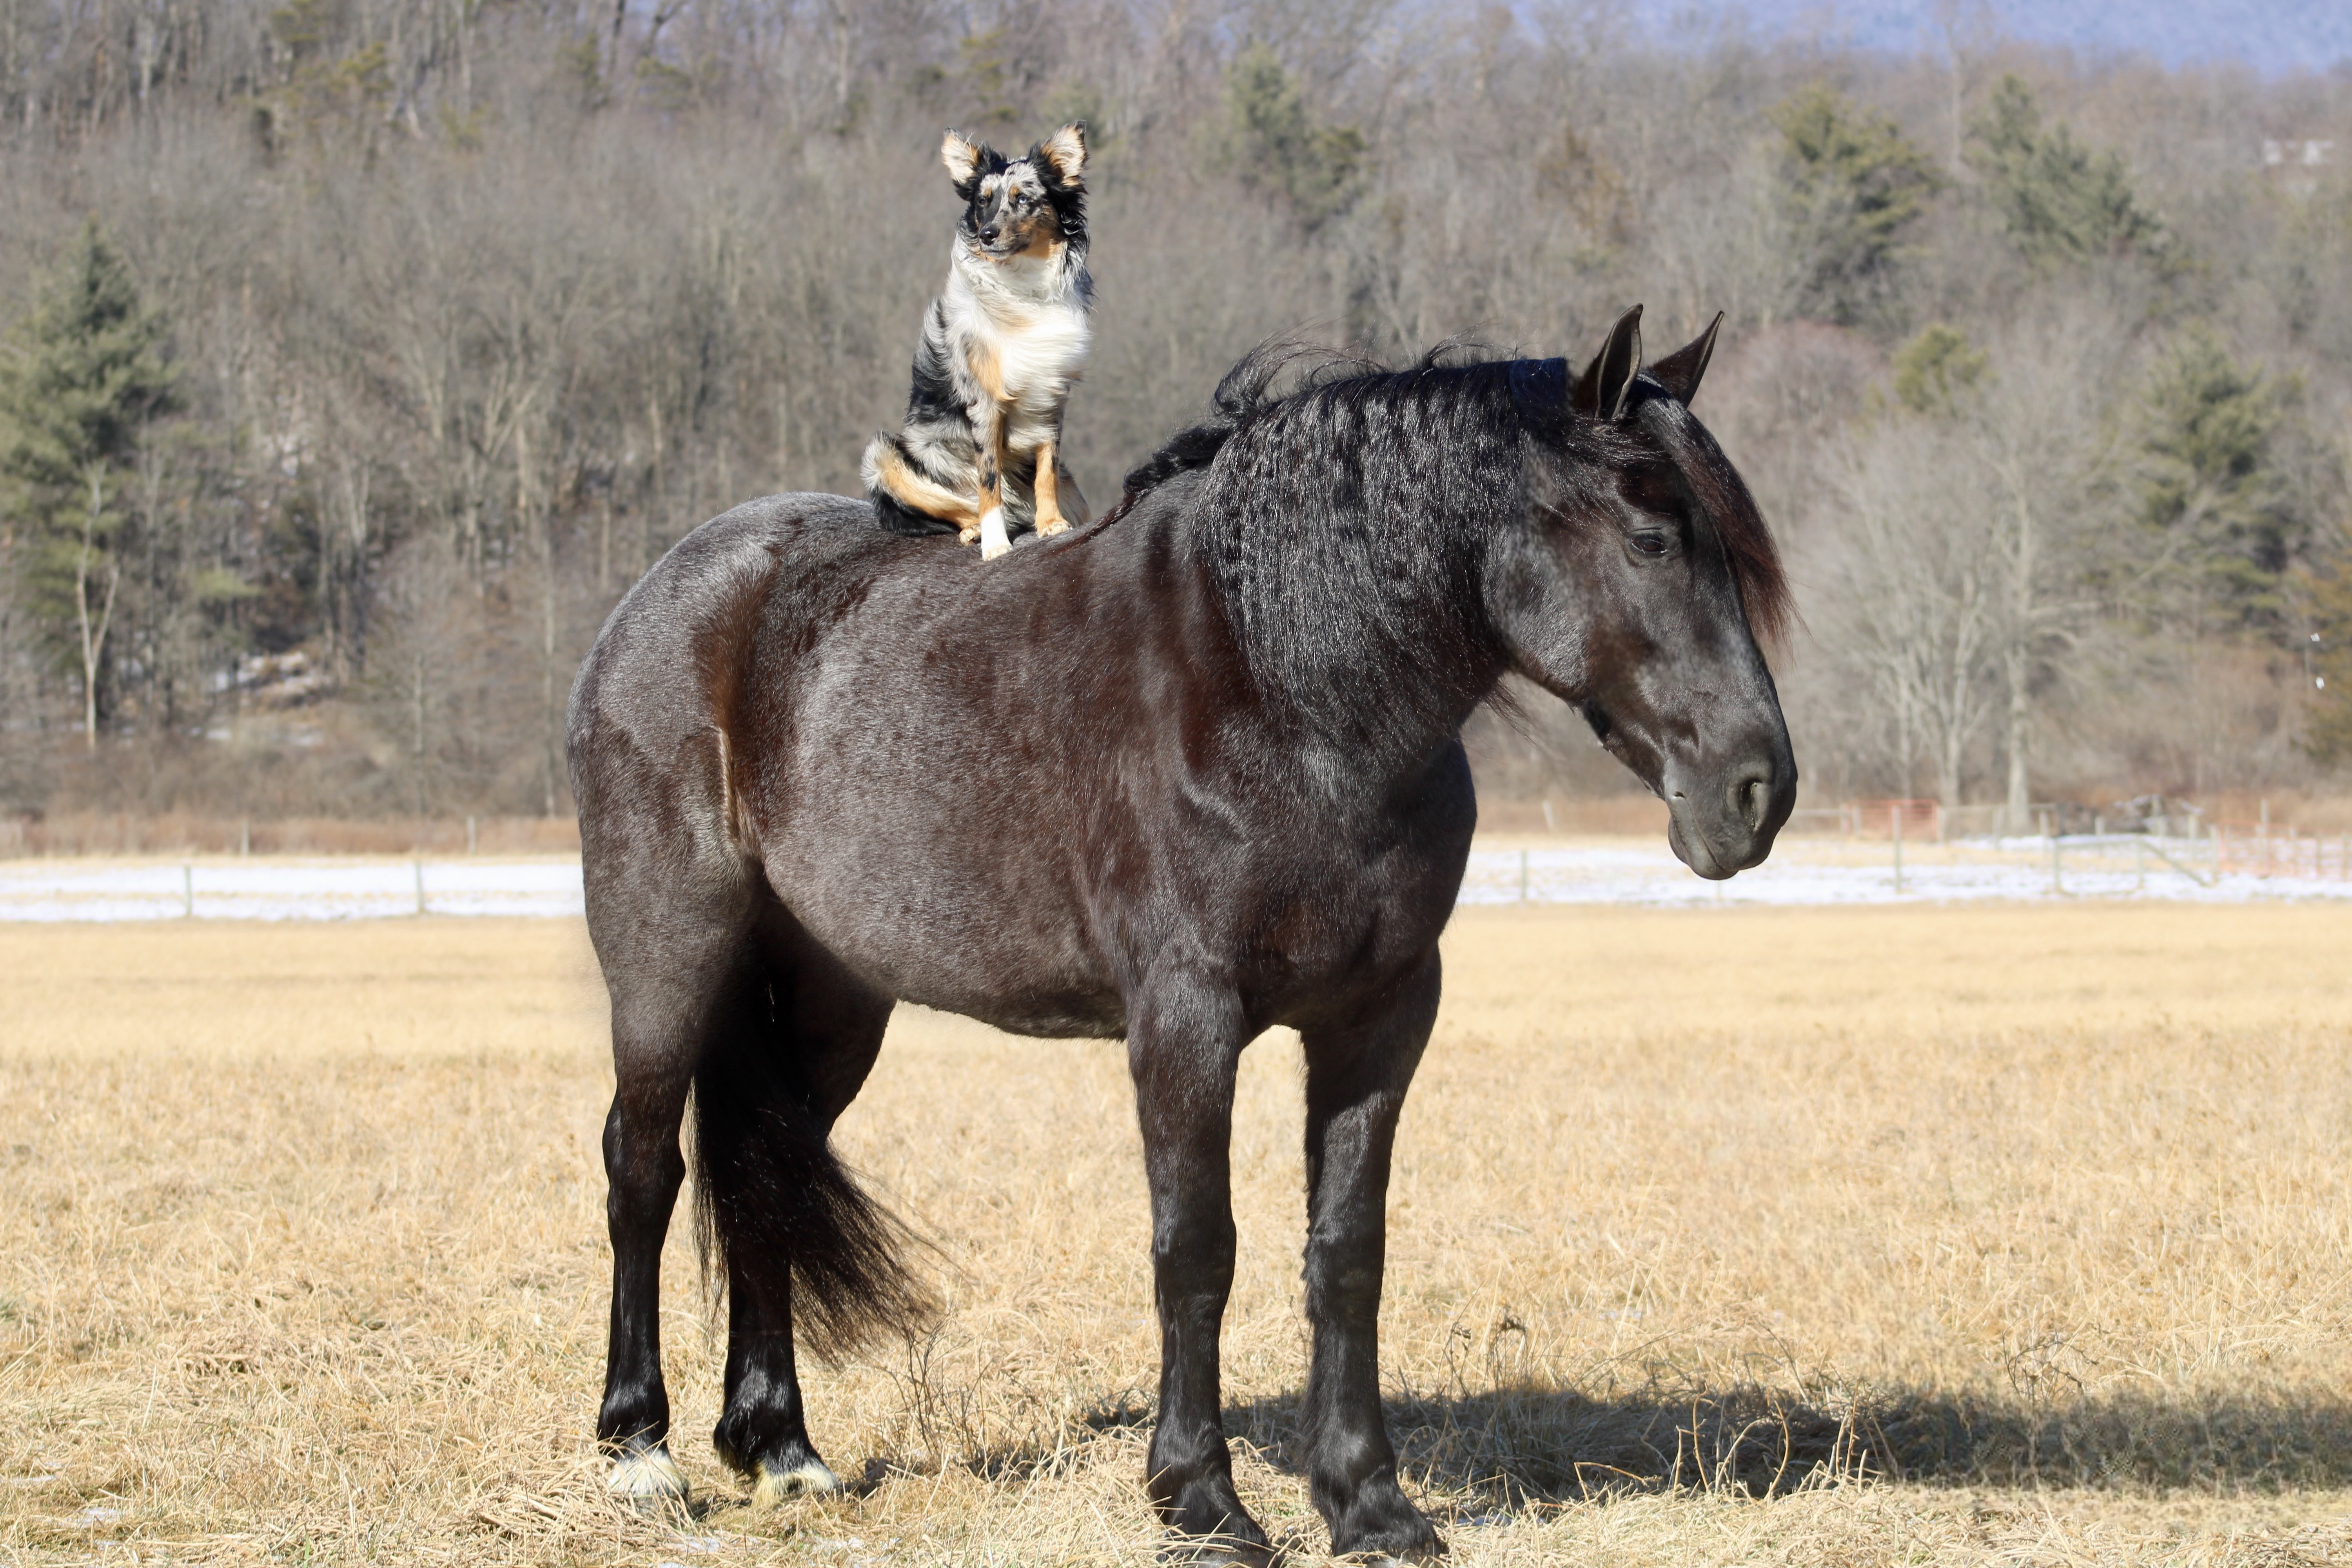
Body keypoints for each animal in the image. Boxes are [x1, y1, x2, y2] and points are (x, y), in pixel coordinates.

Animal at [565, 304, 1796, 1563]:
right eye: (1651, 538)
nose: (1758, 790)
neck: (1283, 692)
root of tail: (664, 597)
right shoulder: (1186, 1020)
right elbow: (1197, 1248)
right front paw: (1203, 1499)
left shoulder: (1381, 1018)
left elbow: (1347, 1252)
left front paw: (1370, 1503)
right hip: (669, 959)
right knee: (644, 1168)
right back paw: (641, 1453)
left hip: (831, 997)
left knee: (768, 1164)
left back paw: (782, 1450)